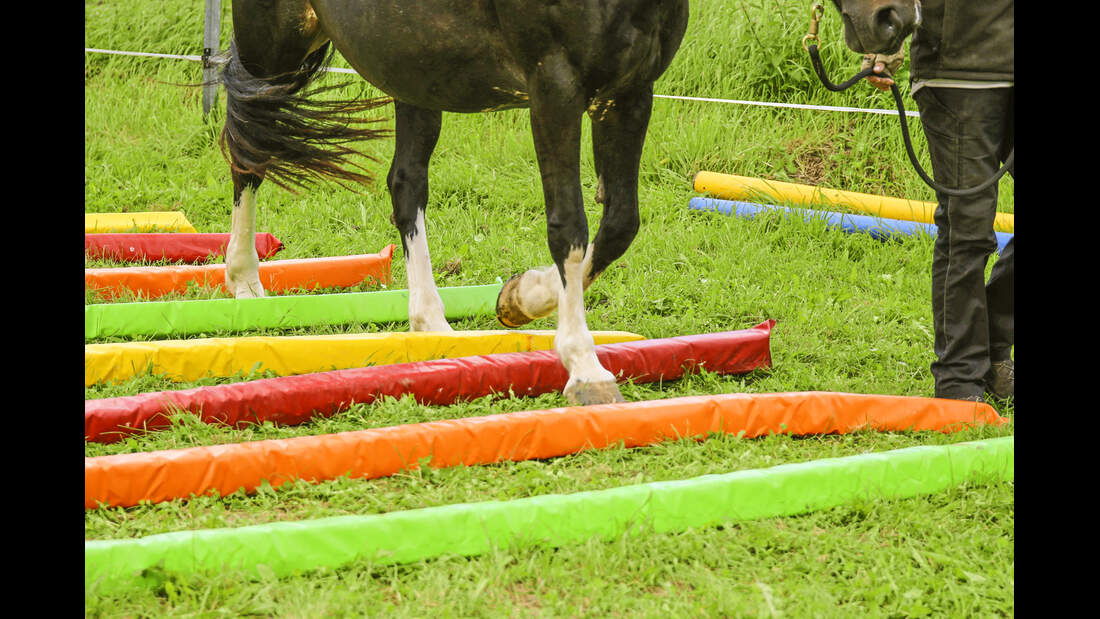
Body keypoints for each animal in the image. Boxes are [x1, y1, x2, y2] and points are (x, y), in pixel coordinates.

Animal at [218, 0, 690, 406]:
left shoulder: (631, 92)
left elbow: (621, 224)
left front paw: (519, 298)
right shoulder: (555, 88)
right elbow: (568, 226)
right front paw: (585, 368)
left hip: (410, 68)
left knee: (406, 185)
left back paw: (431, 324)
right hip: (273, 46)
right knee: (249, 148)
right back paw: (244, 280)